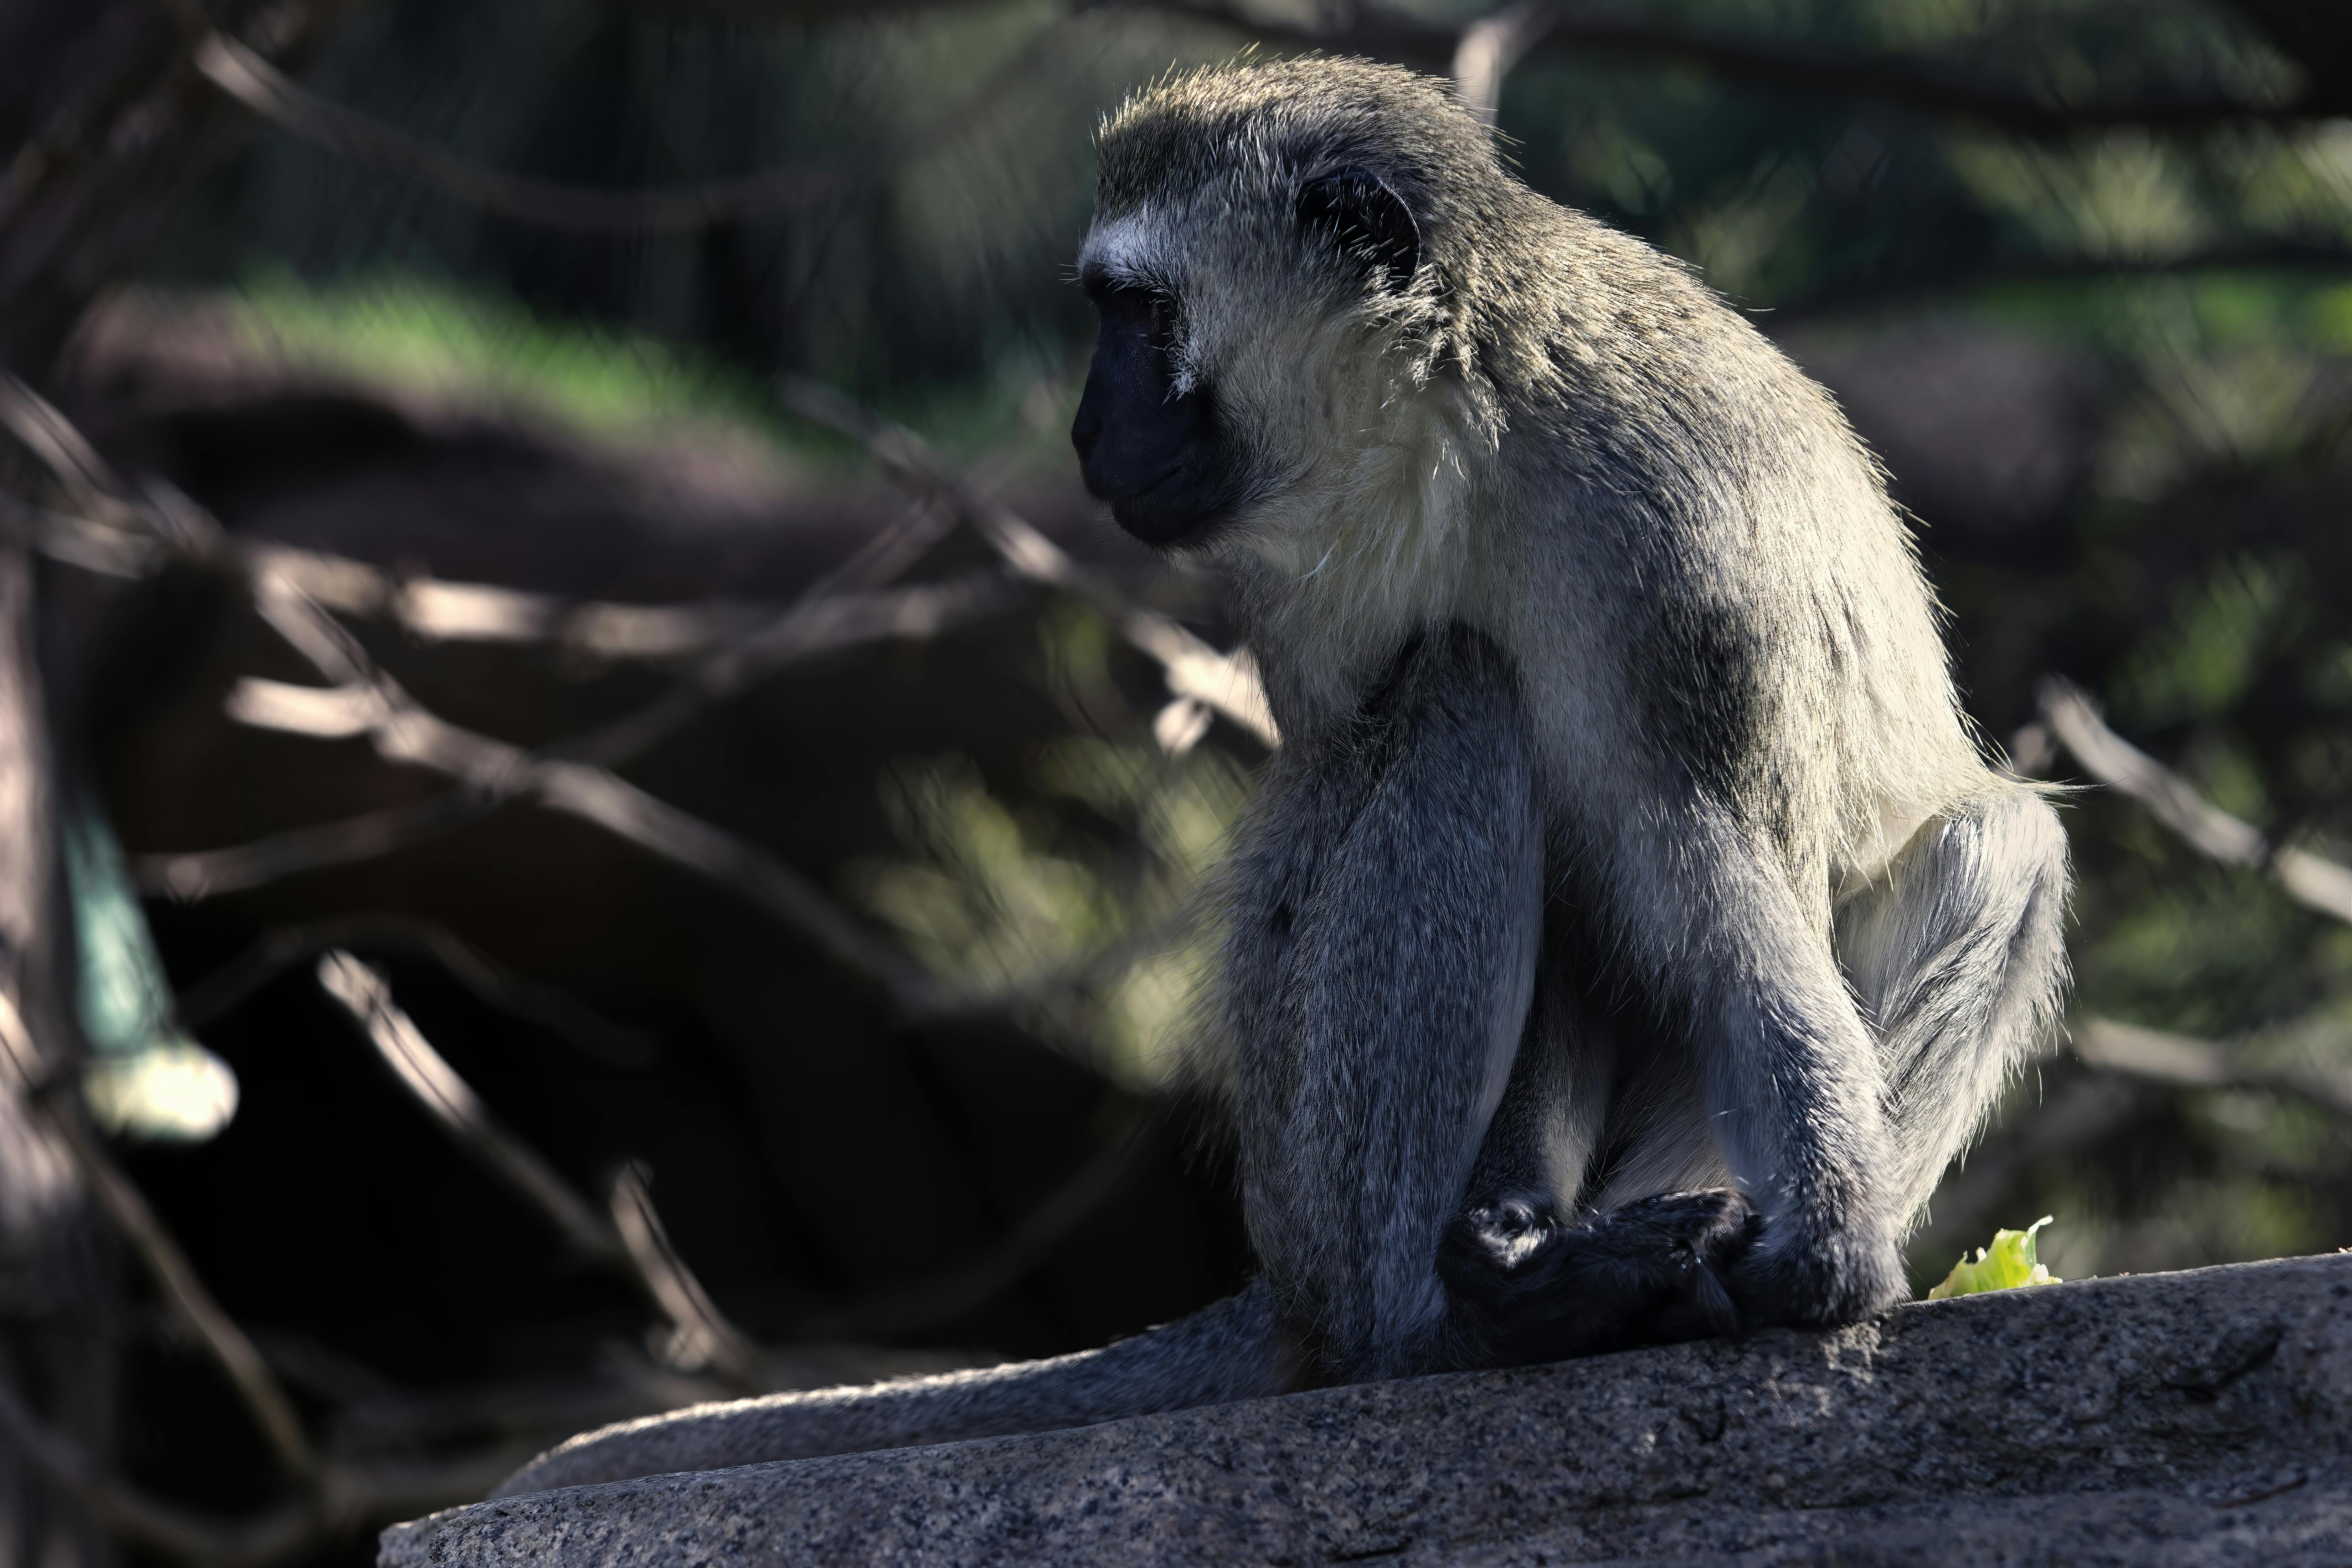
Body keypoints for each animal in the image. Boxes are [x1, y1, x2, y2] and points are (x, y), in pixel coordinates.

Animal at [491, 56, 2068, 1497]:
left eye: (1136, 313)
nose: (1084, 430)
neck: (1459, 413)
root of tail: (1296, 1277)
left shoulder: (1673, 543)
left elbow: (1719, 880)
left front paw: (1830, 1250)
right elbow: (1565, 894)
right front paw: (1527, 1255)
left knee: (1984, 850)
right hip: (1312, 1174)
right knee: (1459, 708)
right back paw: (1437, 1323)